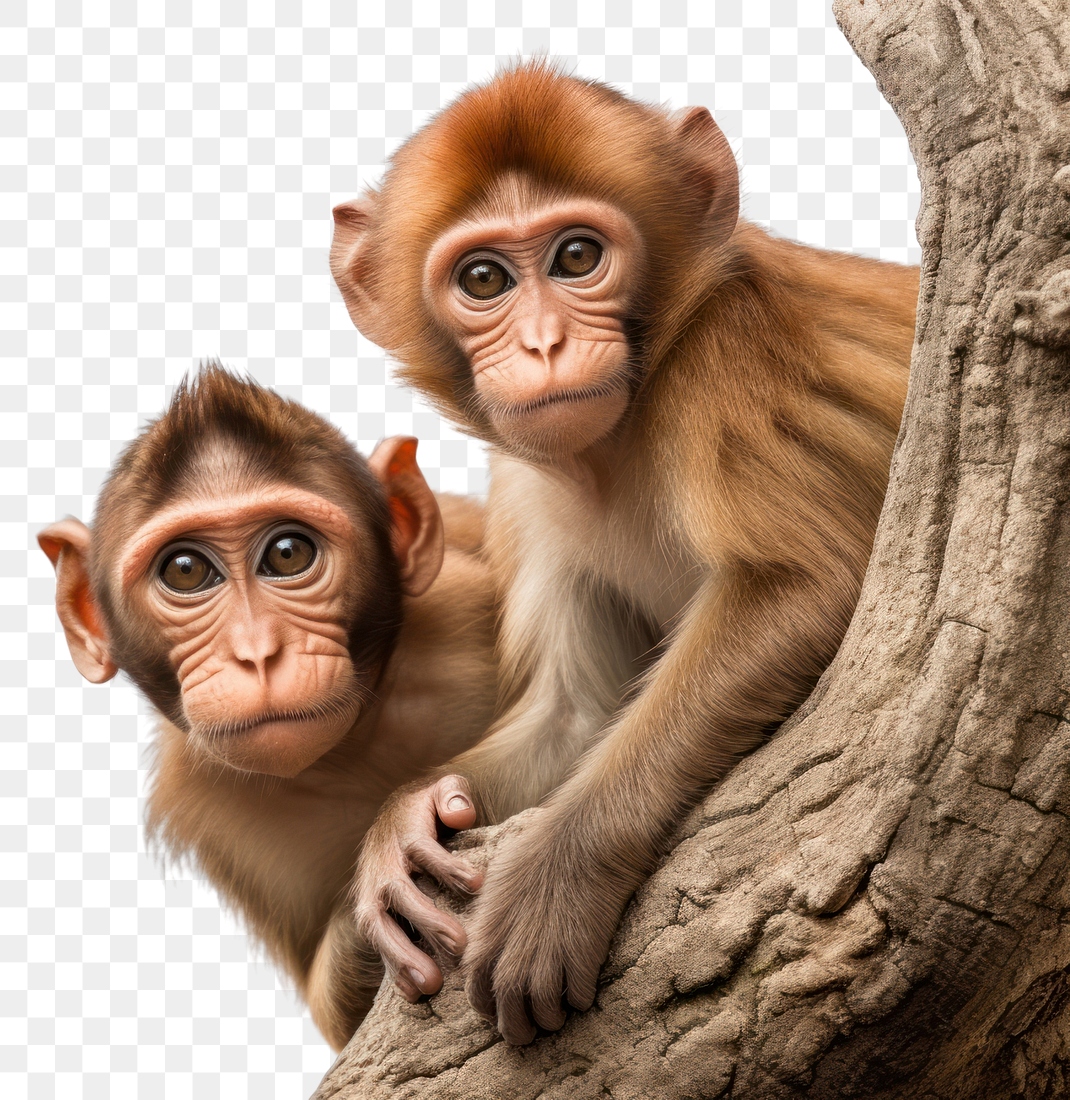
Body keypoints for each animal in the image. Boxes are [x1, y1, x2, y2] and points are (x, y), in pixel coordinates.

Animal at [38, 366, 498, 1051]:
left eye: (287, 554)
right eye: (185, 569)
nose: (257, 653)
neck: (355, 747)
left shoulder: (464, 614)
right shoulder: (216, 810)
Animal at [330, 62, 919, 1045]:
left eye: (577, 259)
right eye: (483, 278)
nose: (544, 344)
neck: (613, 445)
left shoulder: (727, 358)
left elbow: (800, 586)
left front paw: (560, 870)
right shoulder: (524, 482)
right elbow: (573, 711)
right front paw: (401, 827)